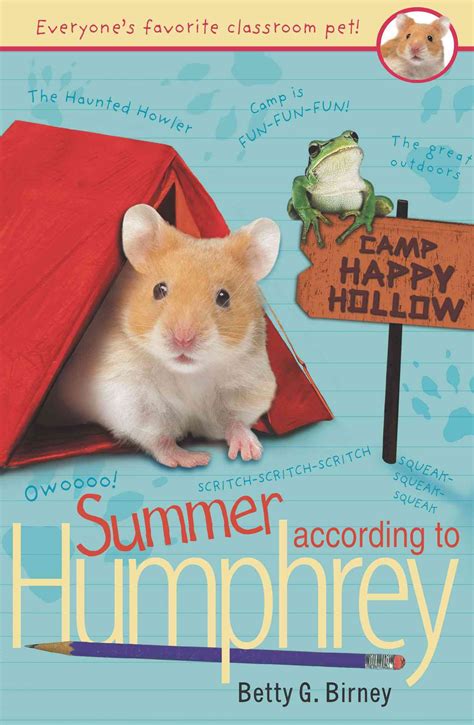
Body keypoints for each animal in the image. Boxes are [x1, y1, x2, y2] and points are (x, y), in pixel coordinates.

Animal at [41, 205, 280, 468]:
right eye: (159, 290)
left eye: (224, 297)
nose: (183, 339)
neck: (188, 374)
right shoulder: (131, 396)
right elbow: (158, 436)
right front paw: (193, 458)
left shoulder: (245, 384)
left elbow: (233, 421)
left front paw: (250, 452)